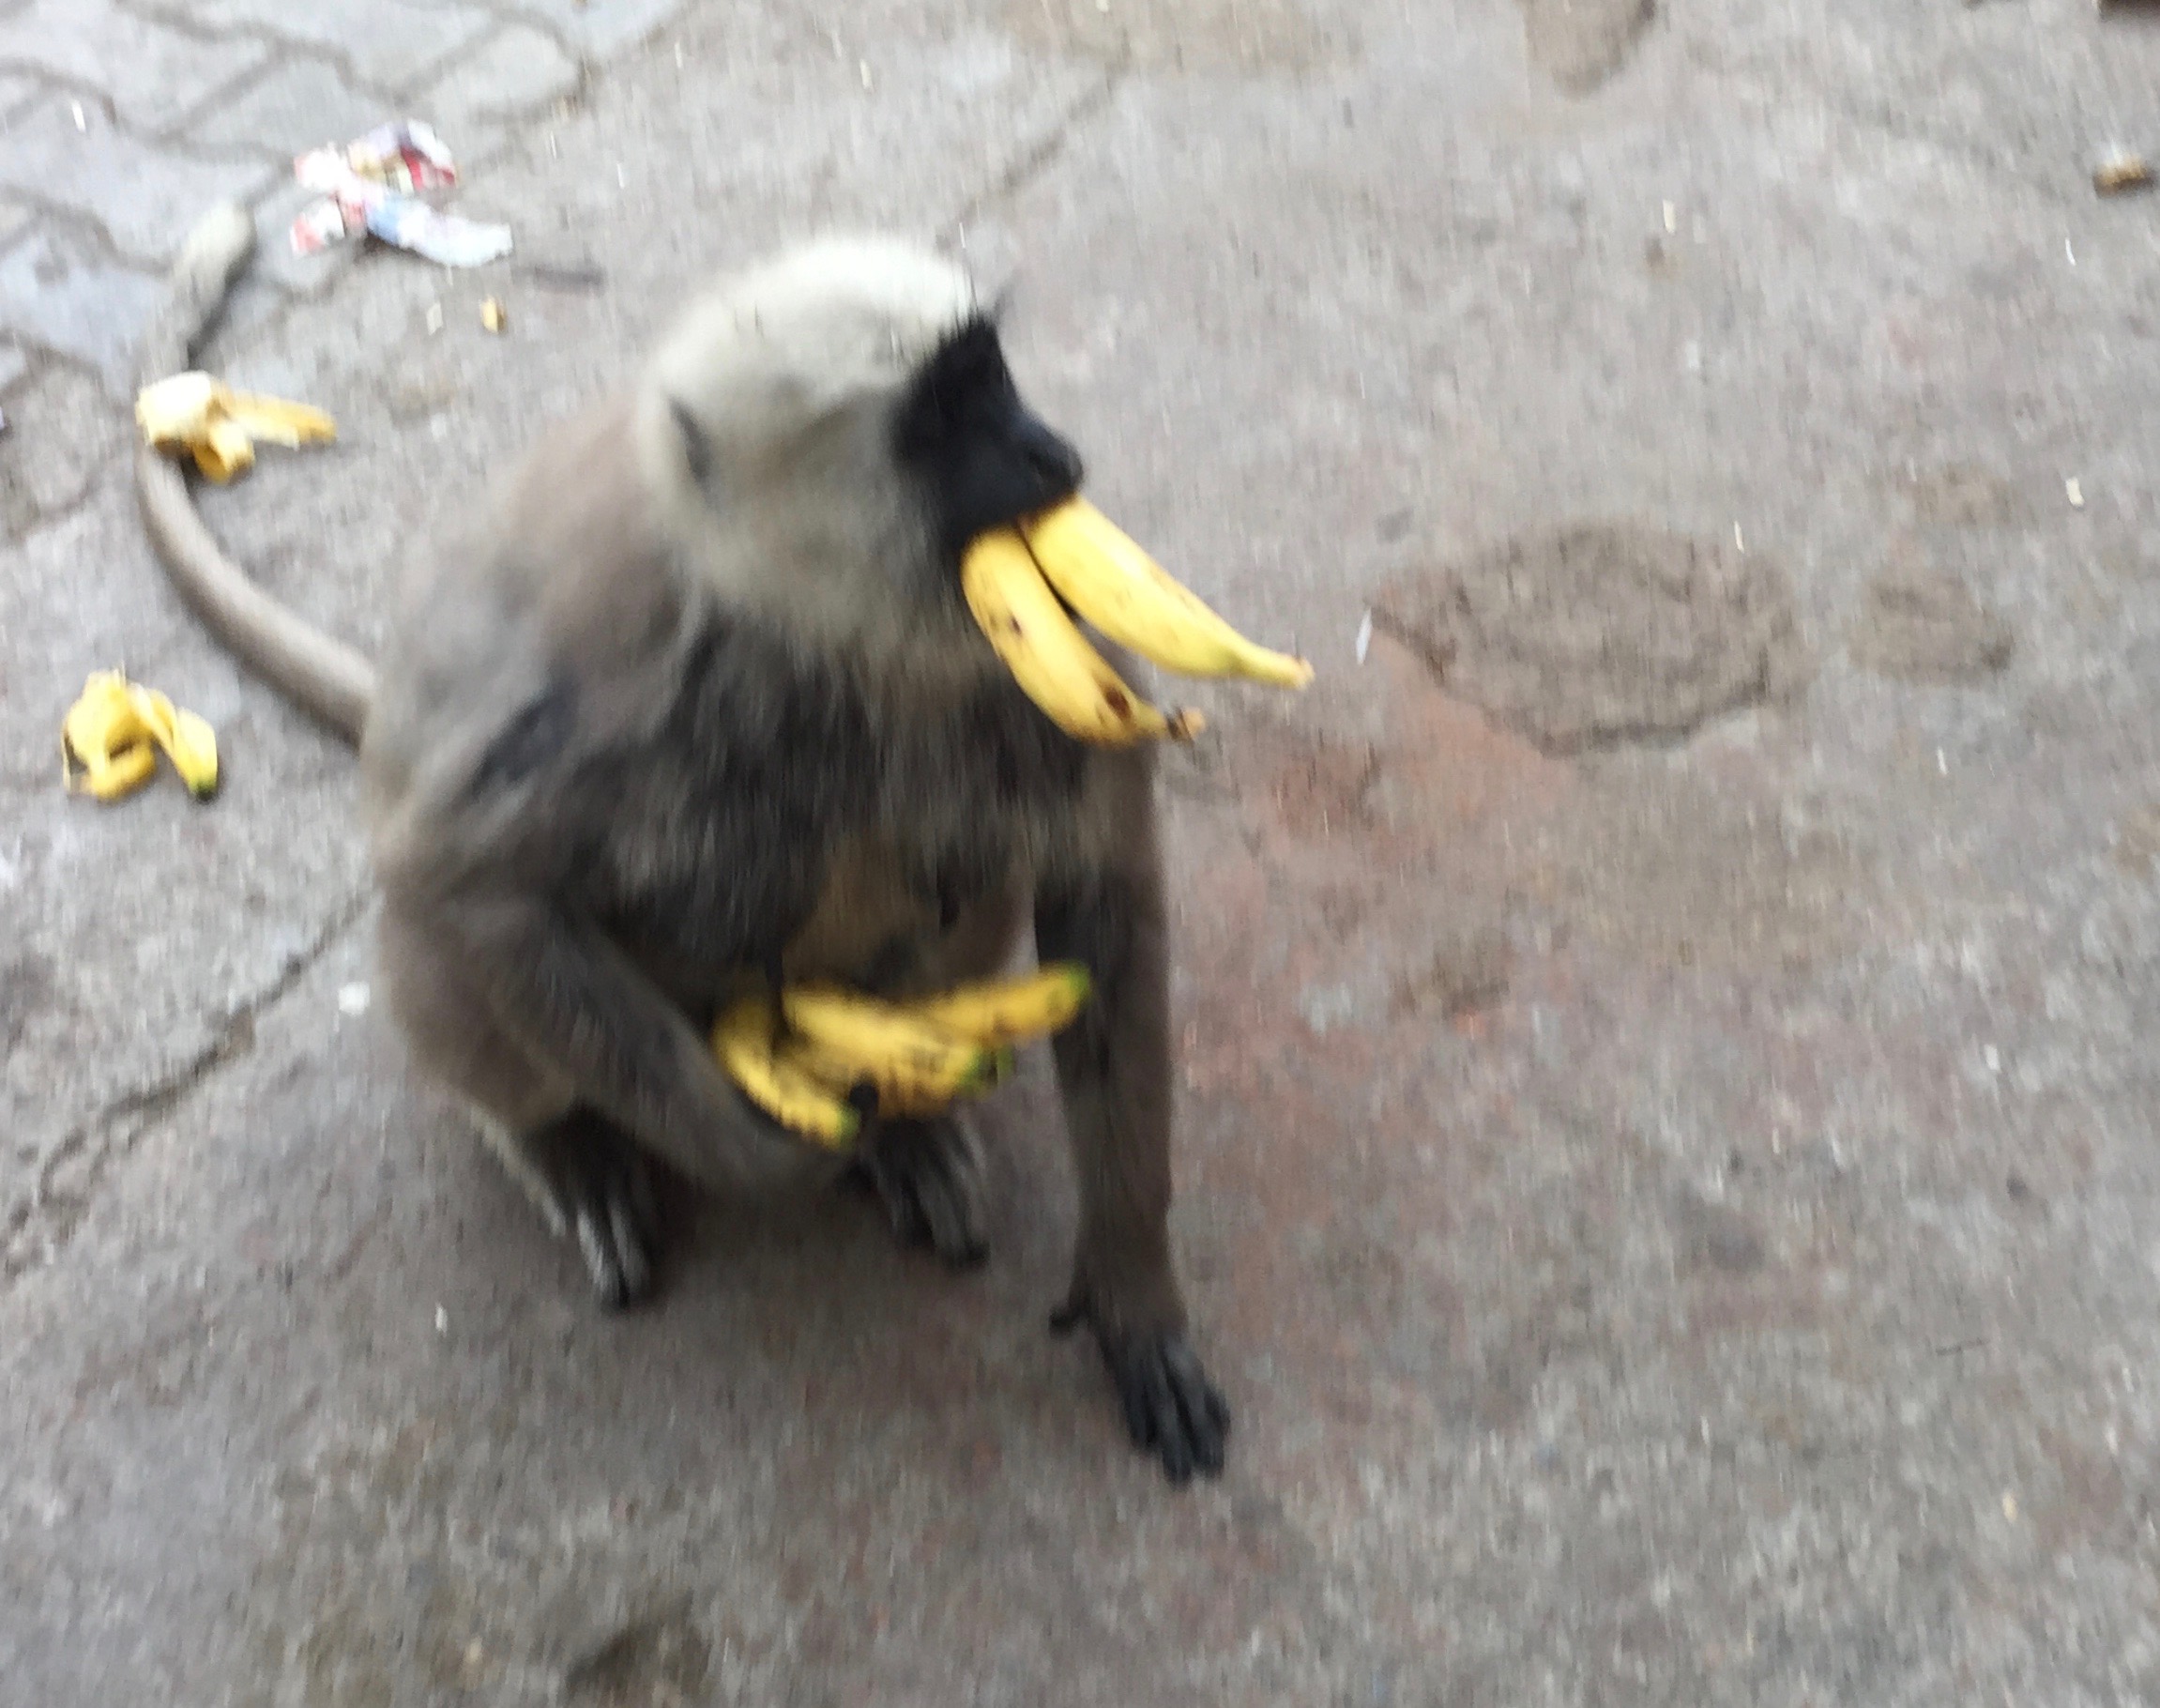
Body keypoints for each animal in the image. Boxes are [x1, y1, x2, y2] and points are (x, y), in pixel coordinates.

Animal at [137, 208, 1229, 1482]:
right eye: (946, 417)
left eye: (992, 380)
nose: (1050, 453)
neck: (818, 620)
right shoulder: (631, 665)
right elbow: (471, 886)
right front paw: (767, 1153)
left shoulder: (1024, 634)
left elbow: (1101, 886)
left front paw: (1129, 1287)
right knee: (450, 945)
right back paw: (568, 1140)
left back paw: (905, 1126)